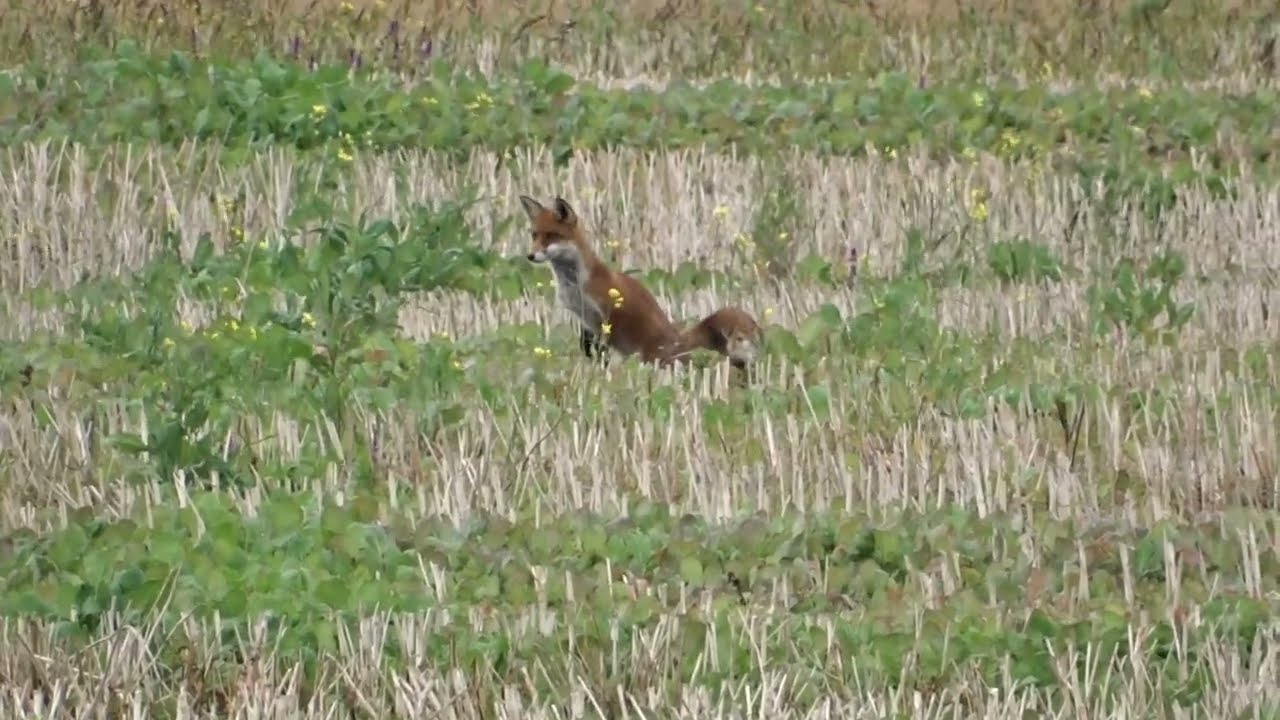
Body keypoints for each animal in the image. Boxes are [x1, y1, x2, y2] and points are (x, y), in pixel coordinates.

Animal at [518, 195, 763, 371]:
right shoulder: (585, 320)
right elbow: (591, 351)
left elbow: (603, 353)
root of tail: (679, 343)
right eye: (534, 235)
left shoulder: (606, 318)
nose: (530, 256)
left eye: (551, 235)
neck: (575, 284)